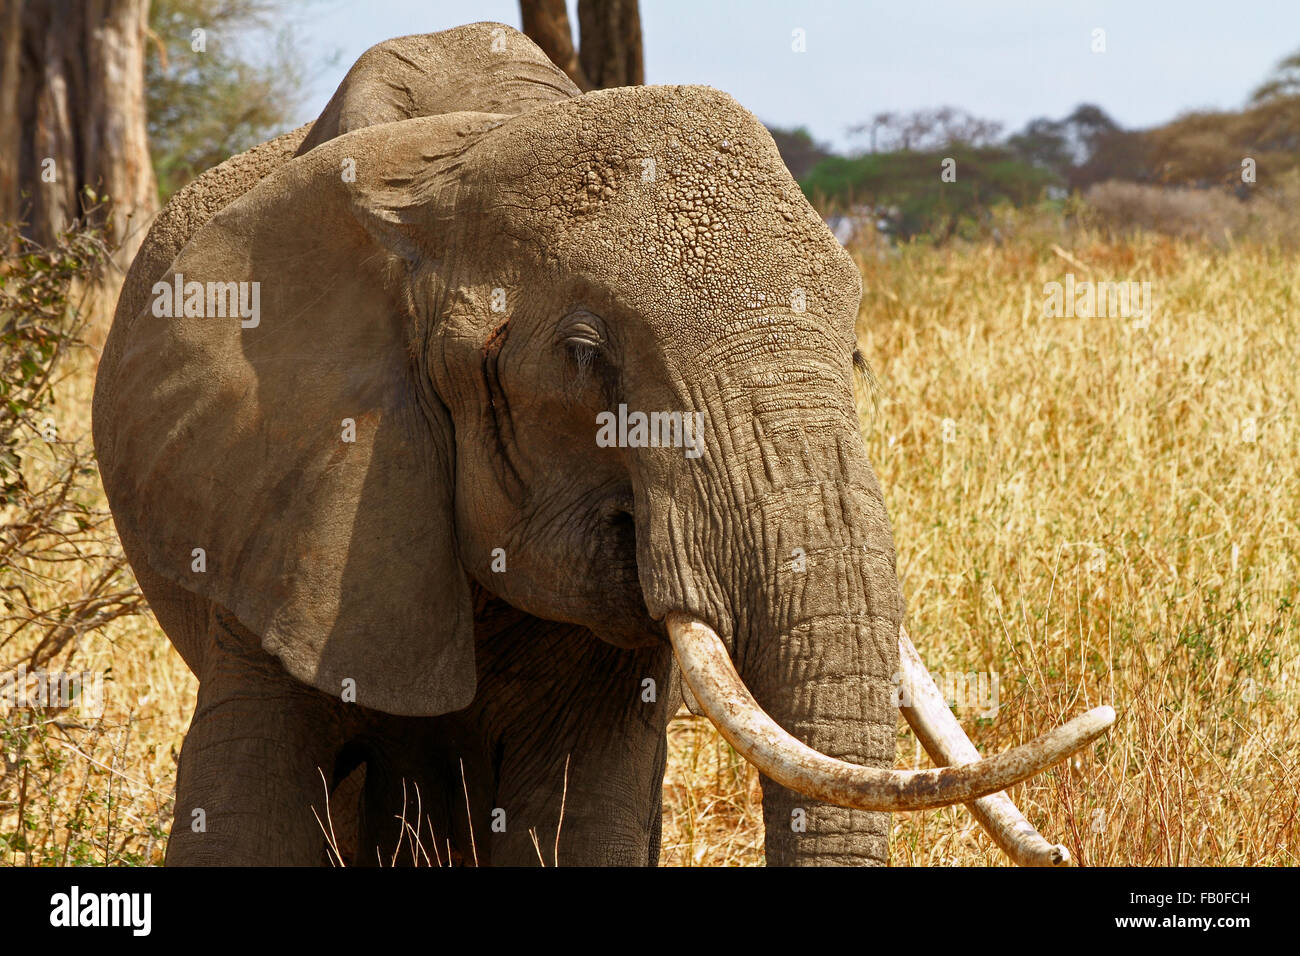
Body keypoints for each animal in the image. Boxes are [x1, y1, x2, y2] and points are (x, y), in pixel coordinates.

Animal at [93, 23, 1113, 866]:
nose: (1098, 720)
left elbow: (582, 819)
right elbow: (244, 812)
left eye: (855, 352)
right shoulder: (281, 501)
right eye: (586, 359)